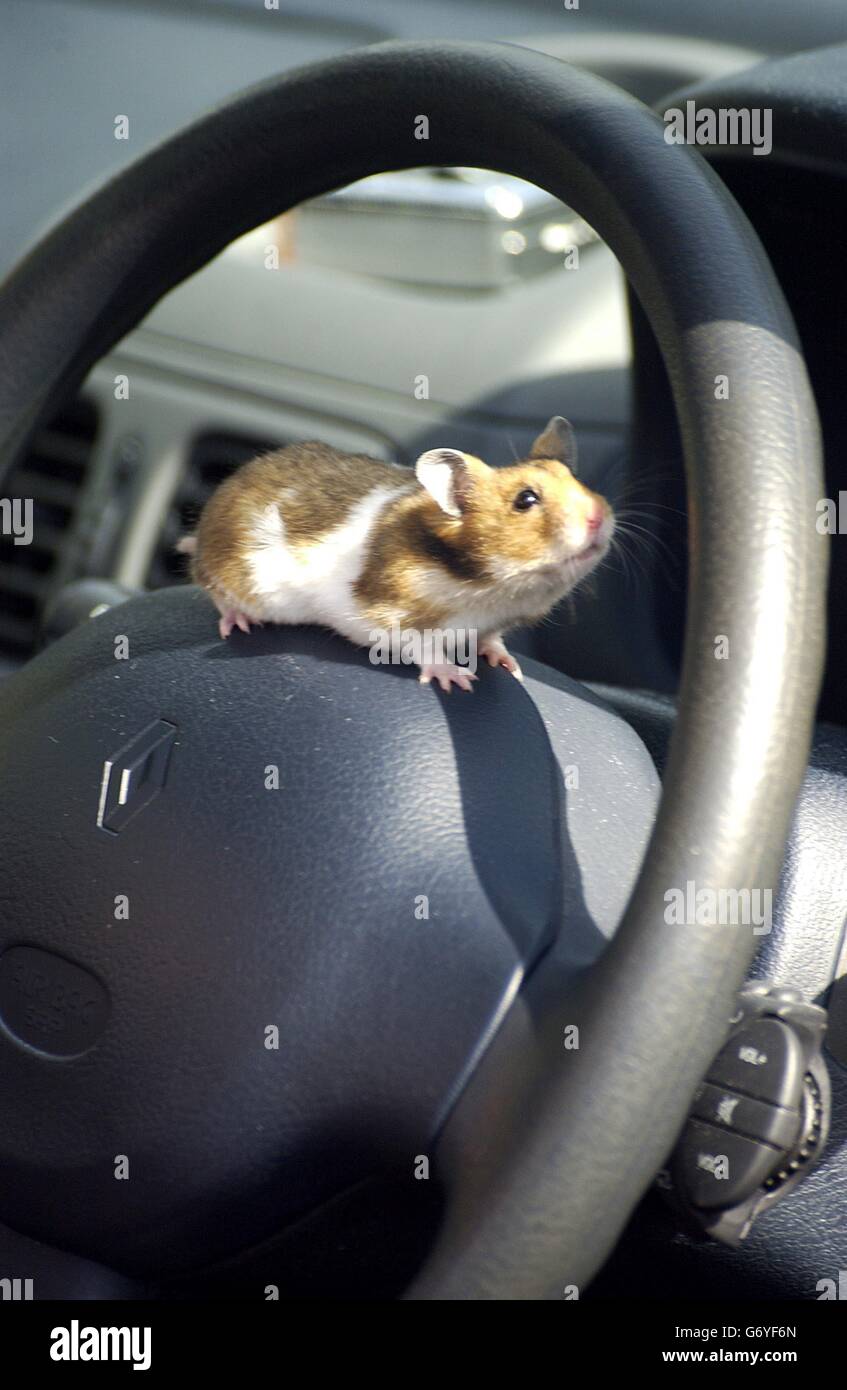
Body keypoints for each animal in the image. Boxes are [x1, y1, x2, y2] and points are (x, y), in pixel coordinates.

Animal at [179, 416, 614, 692]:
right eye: (526, 500)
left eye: (578, 482)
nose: (601, 516)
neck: (492, 588)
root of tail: (204, 530)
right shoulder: (391, 616)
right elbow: (423, 647)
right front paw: (458, 679)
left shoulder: (492, 622)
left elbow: (493, 639)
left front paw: (510, 667)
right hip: (235, 575)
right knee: (213, 588)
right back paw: (238, 622)